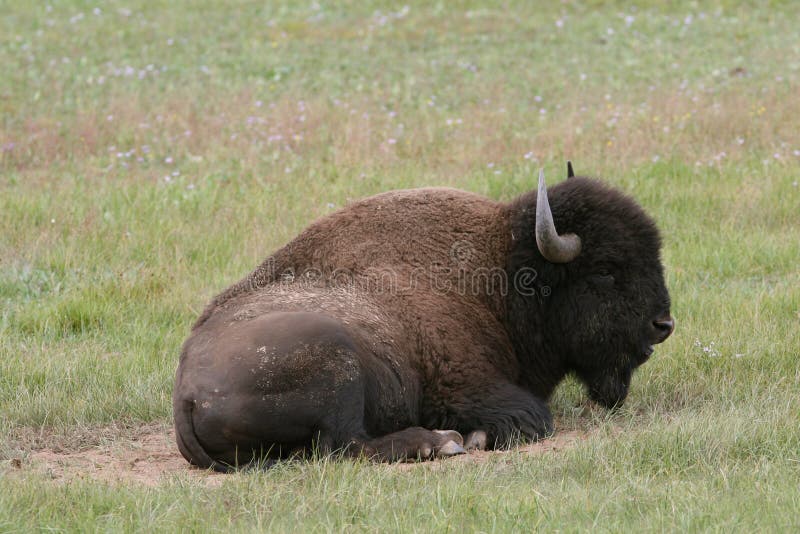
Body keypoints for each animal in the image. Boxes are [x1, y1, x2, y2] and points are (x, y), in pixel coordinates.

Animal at [173, 165, 674, 470]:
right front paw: (475, 437)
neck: (502, 272)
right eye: (605, 270)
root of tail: (186, 395)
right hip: (338, 360)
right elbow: (533, 417)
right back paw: (442, 441)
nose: (663, 325)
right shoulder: (469, 386)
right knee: (345, 445)